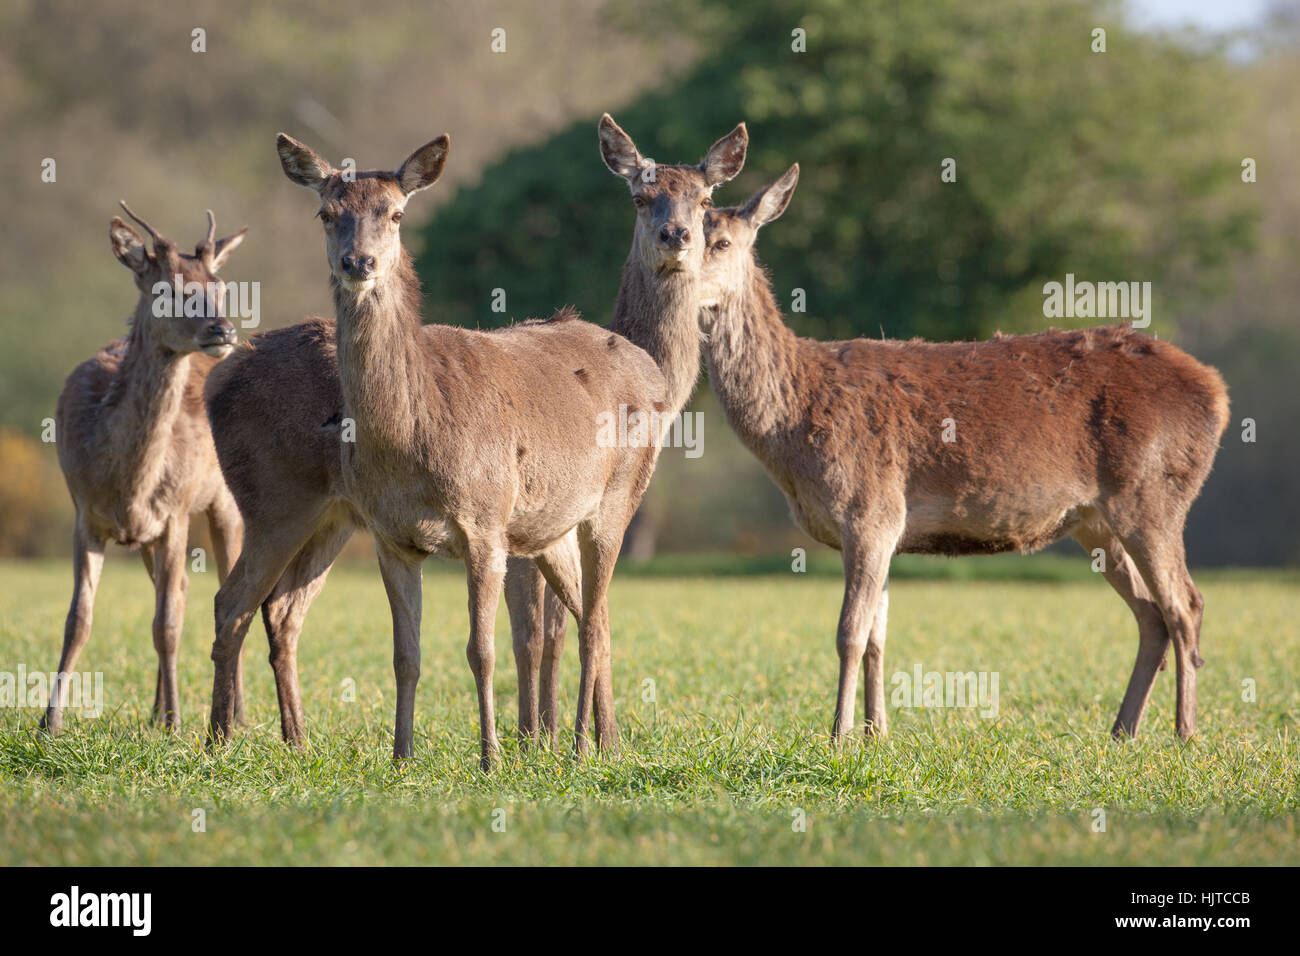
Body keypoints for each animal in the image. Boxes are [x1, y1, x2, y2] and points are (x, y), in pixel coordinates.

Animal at [44, 201, 248, 733]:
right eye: (168, 289)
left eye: (220, 287)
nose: (223, 330)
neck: (128, 485)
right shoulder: (85, 514)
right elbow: (78, 619)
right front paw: (49, 722)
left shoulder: (175, 512)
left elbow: (167, 623)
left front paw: (178, 723)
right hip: (146, 539)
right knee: (179, 588)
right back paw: (156, 711)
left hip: (227, 503)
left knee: (229, 592)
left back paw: (234, 715)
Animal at [206, 113, 748, 754]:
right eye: (325, 212)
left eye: (396, 213)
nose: (358, 263)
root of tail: (214, 380)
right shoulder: (418, 534)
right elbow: (463, 646)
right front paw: (500, 745)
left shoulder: (500, 525)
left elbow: (498, 642)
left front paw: (508, 746)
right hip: (277, 499)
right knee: (237, 604)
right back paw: (223, 739)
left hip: (597, 496)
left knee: (277, 610)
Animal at [702, 167, 1227, 743]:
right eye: (670, 232)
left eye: (720, 241)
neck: (793, 428)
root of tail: (1218, 393)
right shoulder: (884, 527)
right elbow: (878, 635)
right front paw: (877, 733)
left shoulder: (870, 508)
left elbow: (849, 633)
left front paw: (838, 735)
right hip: (1096, 521)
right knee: (1152, 614)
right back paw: (1122, 732)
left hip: (1152, 492)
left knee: (1186, 605)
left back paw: (1184, 732)